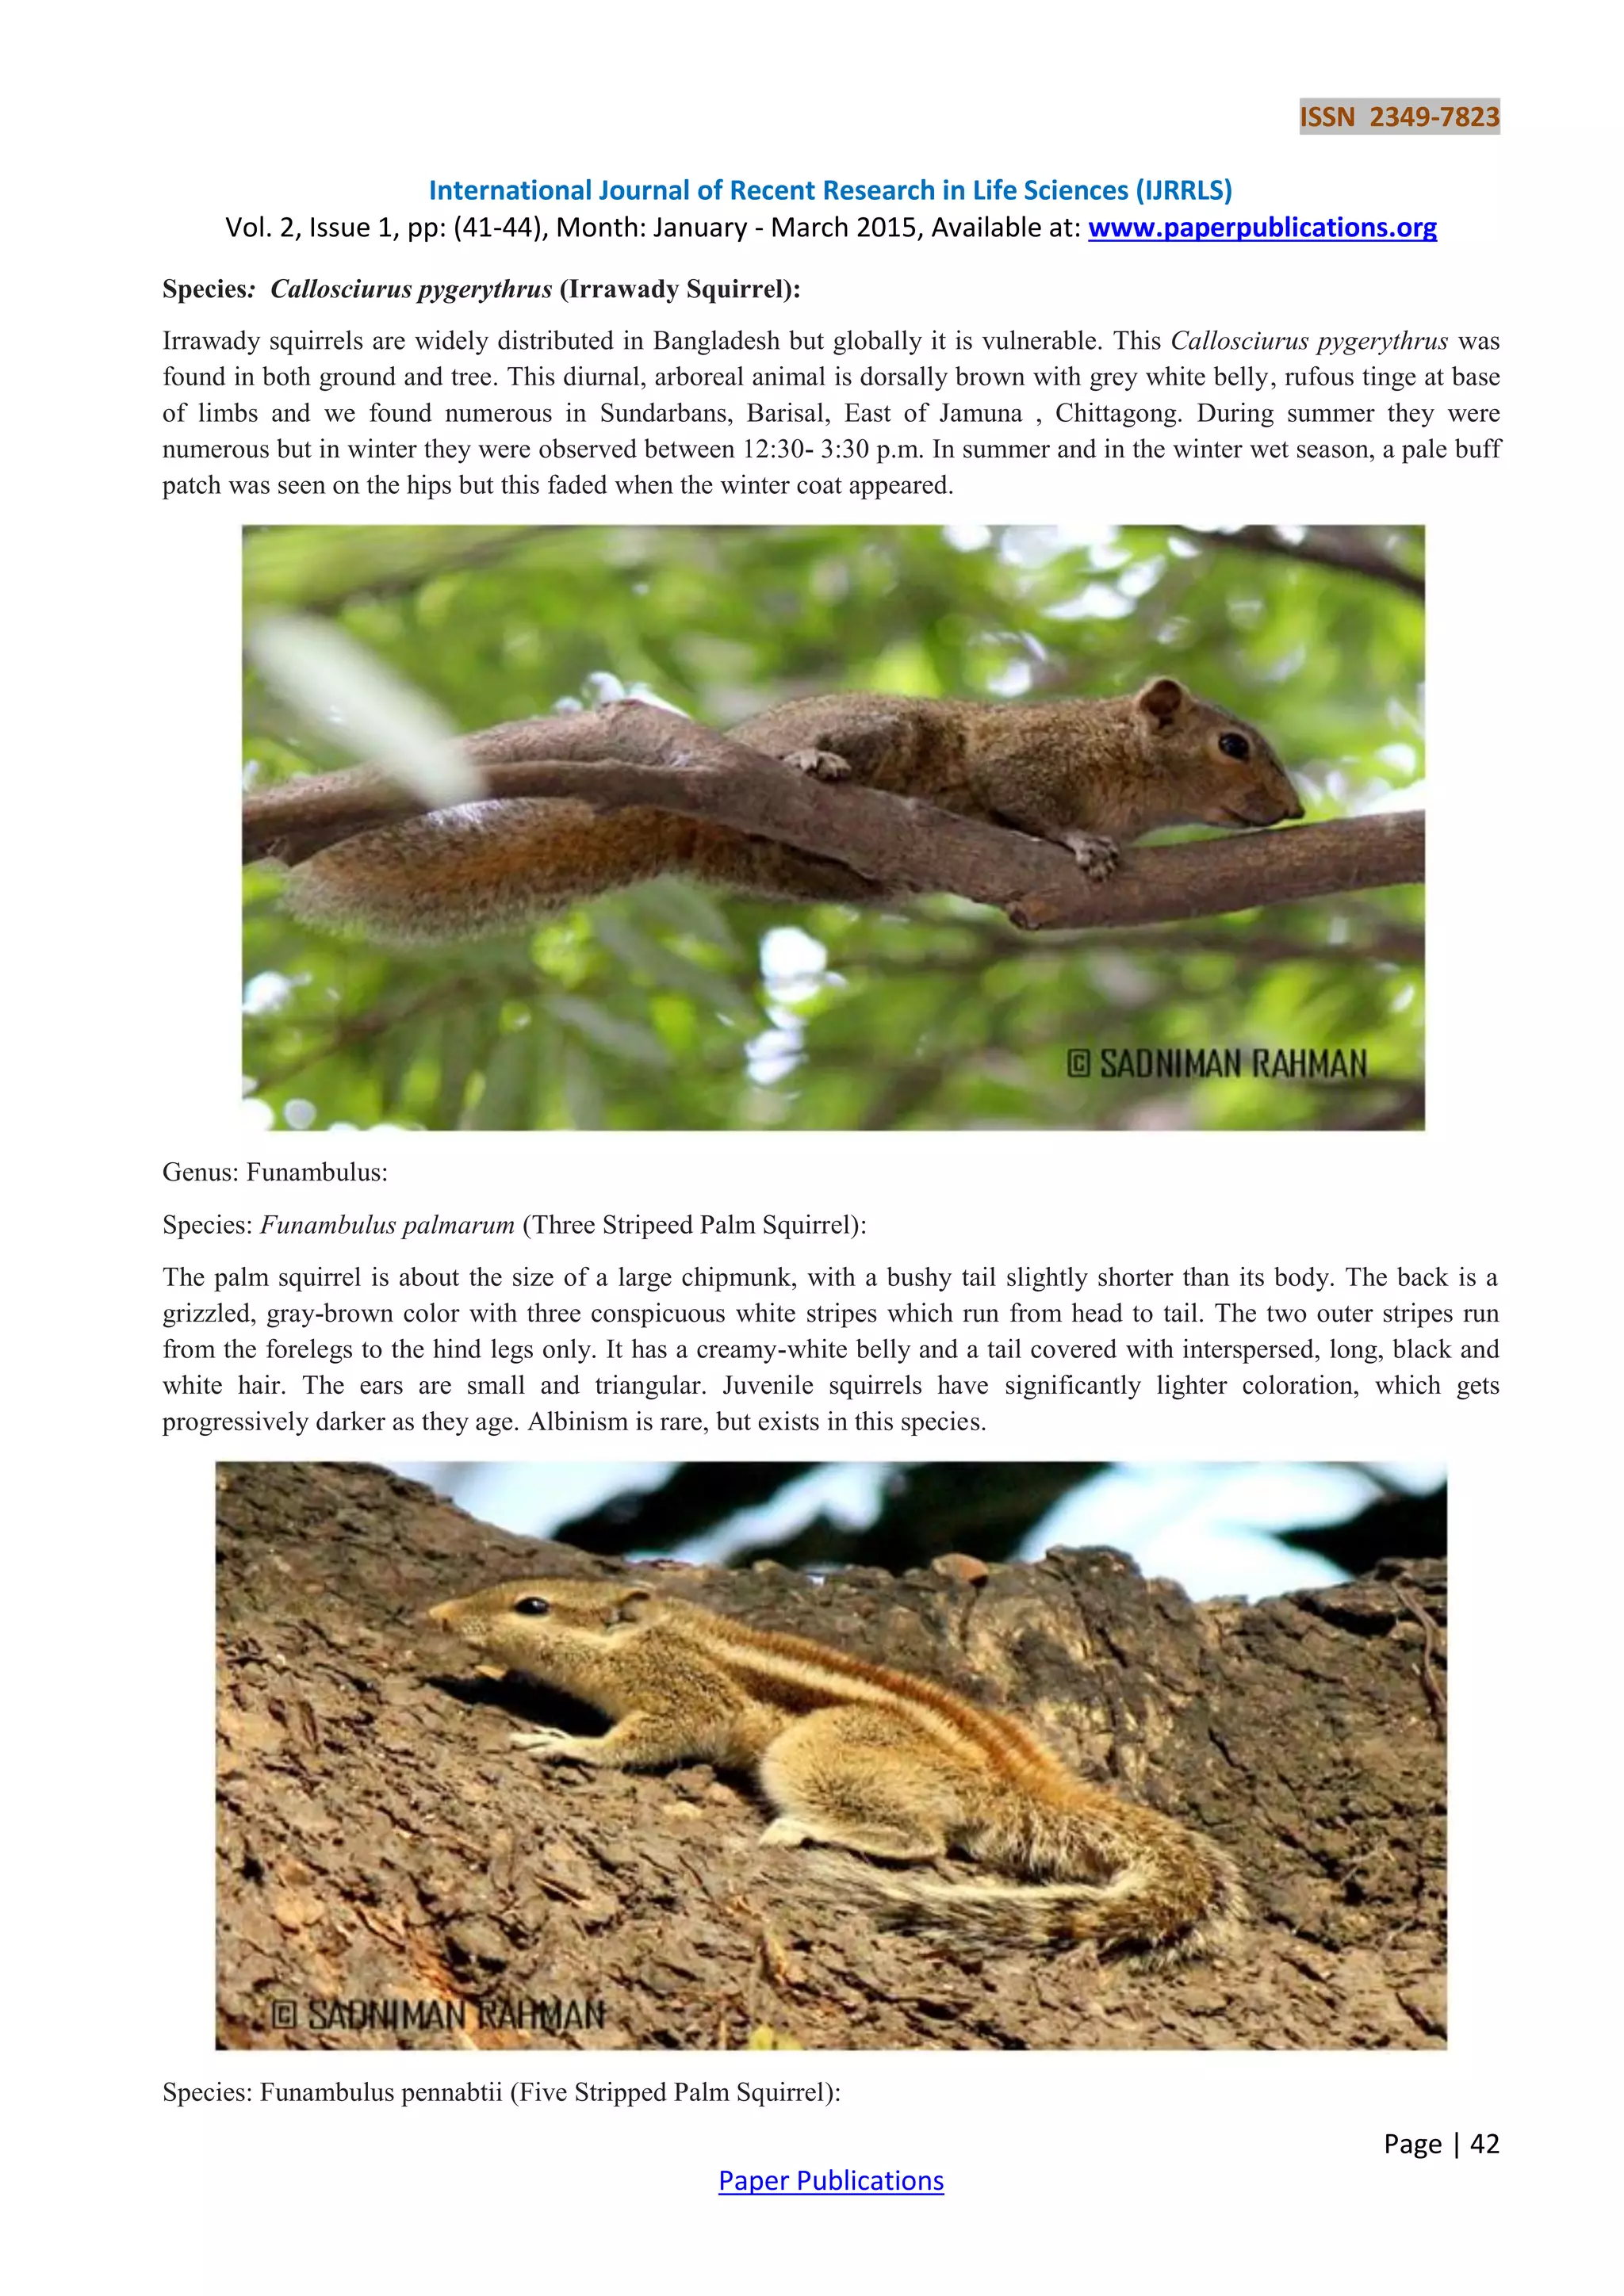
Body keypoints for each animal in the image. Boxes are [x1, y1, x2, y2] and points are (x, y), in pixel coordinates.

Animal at [284, 677, 1301, 941]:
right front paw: (1082, 840)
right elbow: (1025, 800)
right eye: (1233, 745)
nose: (1292, 810)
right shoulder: (1028, 754)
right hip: (879, 725)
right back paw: (808, 759)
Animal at [426, 1576, 1246, 1967]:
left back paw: (805, 1829)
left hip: (810, 1753)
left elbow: (656, 1737)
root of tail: (1011, 1783)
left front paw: (569, 1745)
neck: (650, 1635)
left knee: (923, 1842)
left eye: (533, 1605)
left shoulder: (686, 1696)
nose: (437, 1616)